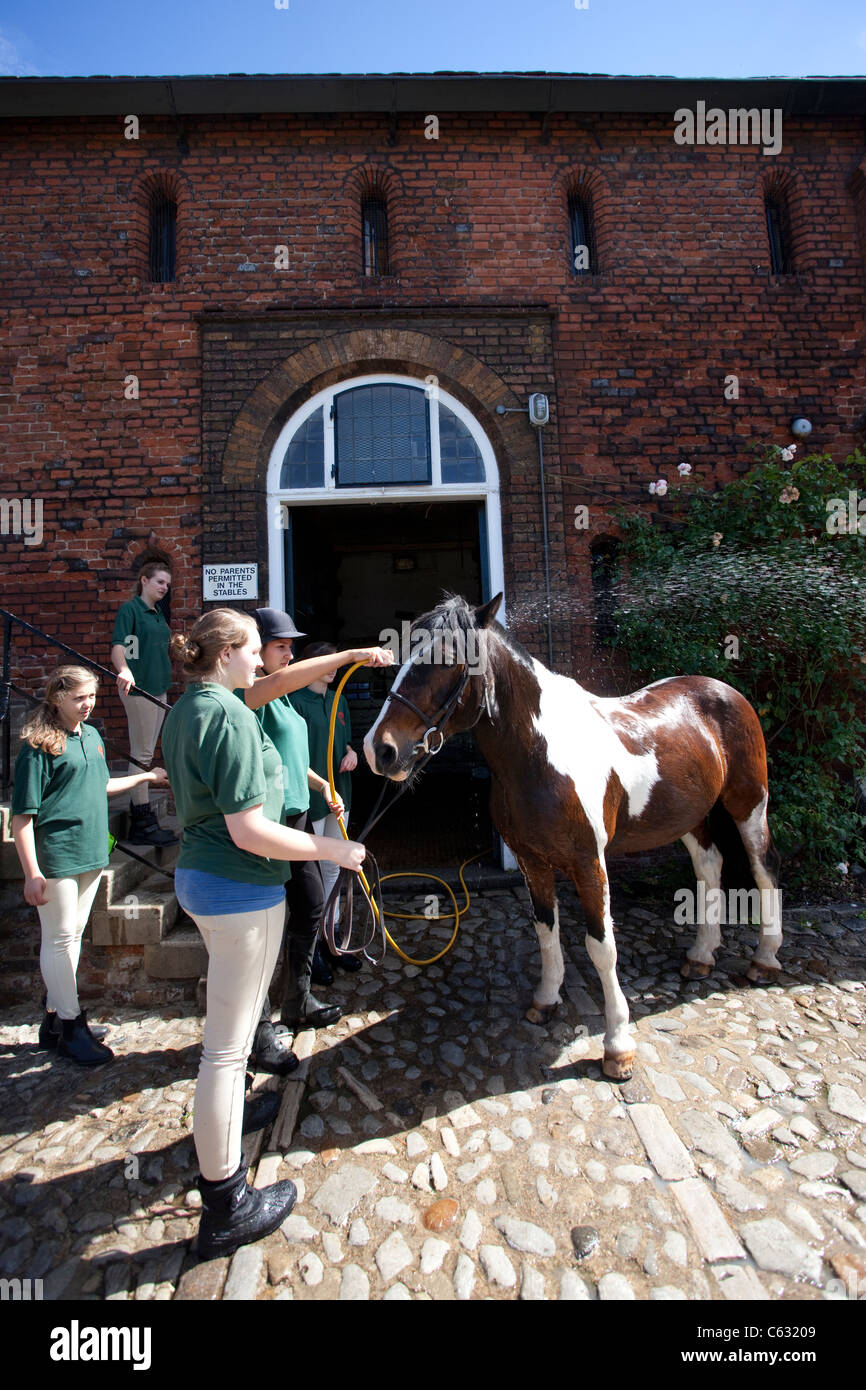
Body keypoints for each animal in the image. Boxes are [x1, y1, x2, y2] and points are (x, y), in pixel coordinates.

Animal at [363, 593, 782, 1082]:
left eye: (449, 658)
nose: (379, 750)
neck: (540, 754)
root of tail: (723, 689)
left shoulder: (589, 863)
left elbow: (601, 947)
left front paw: (618, 1047)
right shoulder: (532, 862)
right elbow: (546, 930)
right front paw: (546, 1000)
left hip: (748, 802)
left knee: (763, 869)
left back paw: (764, 959)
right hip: (689, 817)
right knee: (710, 867)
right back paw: (700, 955)